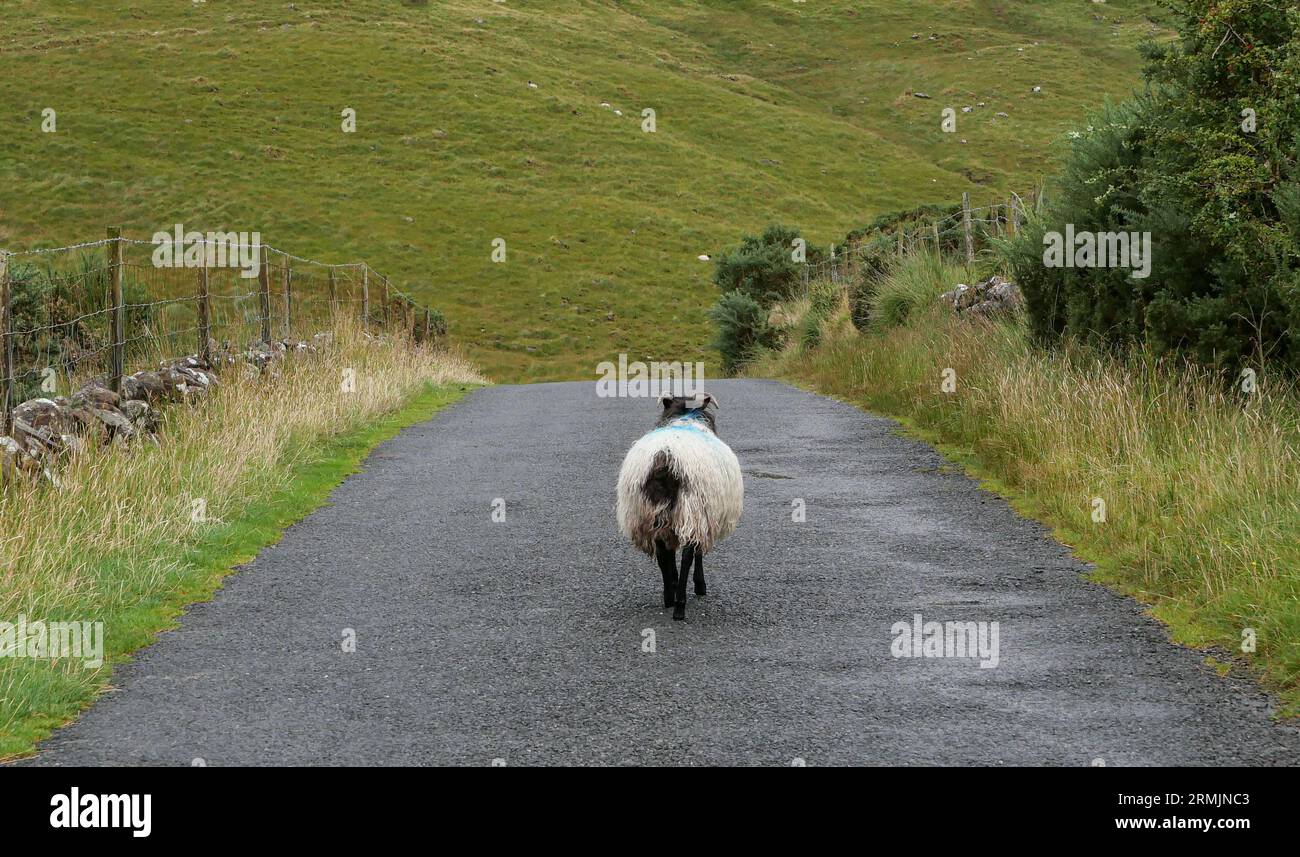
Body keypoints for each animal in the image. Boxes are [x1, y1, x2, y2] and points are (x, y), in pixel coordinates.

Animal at [616, 392, 743, 620]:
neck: (685, 418)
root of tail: (665, 457)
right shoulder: (704, 514)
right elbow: (697, 553)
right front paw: (700, 585)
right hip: (692, 508)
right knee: (687, 555)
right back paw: (679, 606)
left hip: (649, 512)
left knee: (661, 552)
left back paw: (669, 595)